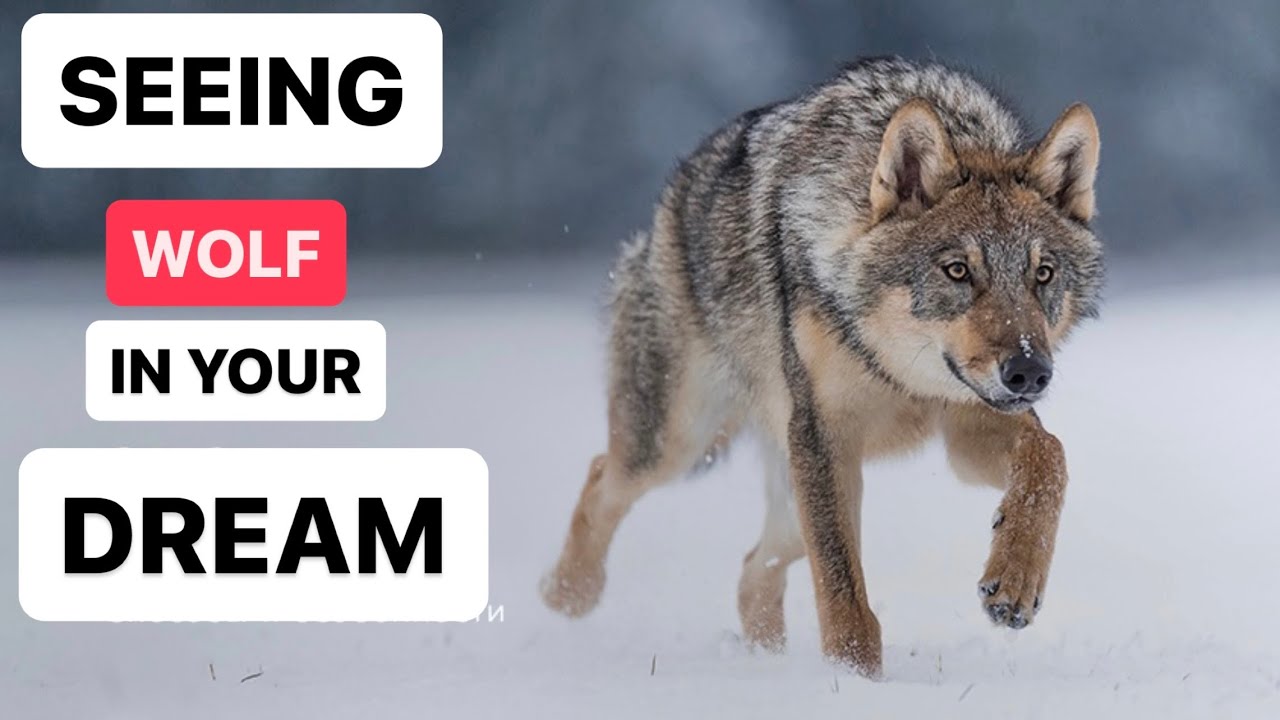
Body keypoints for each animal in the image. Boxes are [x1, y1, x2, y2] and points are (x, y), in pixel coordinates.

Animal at [541, 57, 1103, 677]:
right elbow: (841, 588)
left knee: (752, 570)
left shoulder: (966, 421)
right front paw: (856, 680)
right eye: (958, 270)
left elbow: (1048, 457)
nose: (1029, 372)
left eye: (1043, 274)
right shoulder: (823, 433)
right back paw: (567, 594)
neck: (894, 371)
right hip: (683, 445)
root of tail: (669, 205)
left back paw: (765, 663)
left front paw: (1015, 580)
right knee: (603, 474)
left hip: (788, 486)